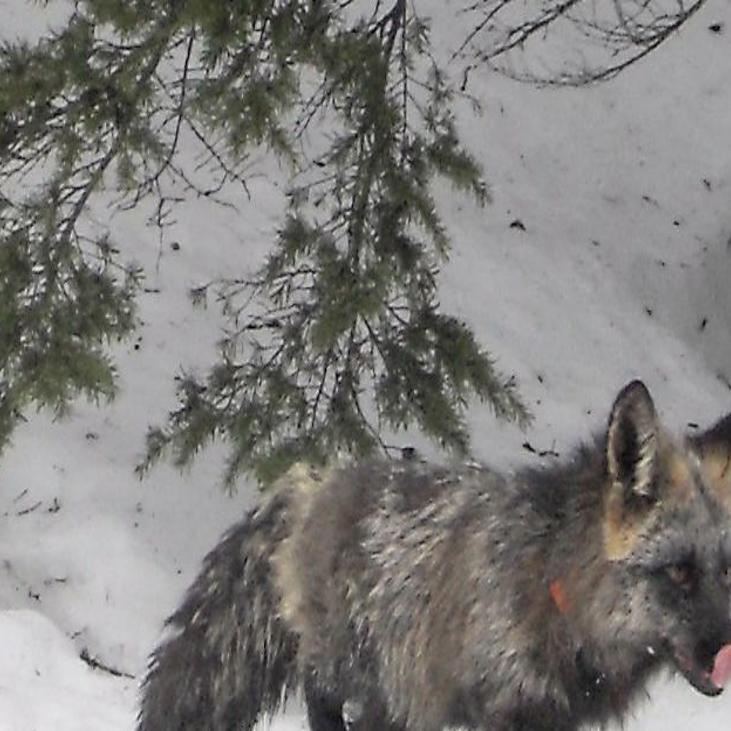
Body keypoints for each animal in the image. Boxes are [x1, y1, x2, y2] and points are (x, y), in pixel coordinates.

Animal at [137, 380, 731, 731]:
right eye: (679, 573)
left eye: (726, 573)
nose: (727, 651)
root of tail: (318, 476)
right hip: (359, 672)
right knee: (321, 696)